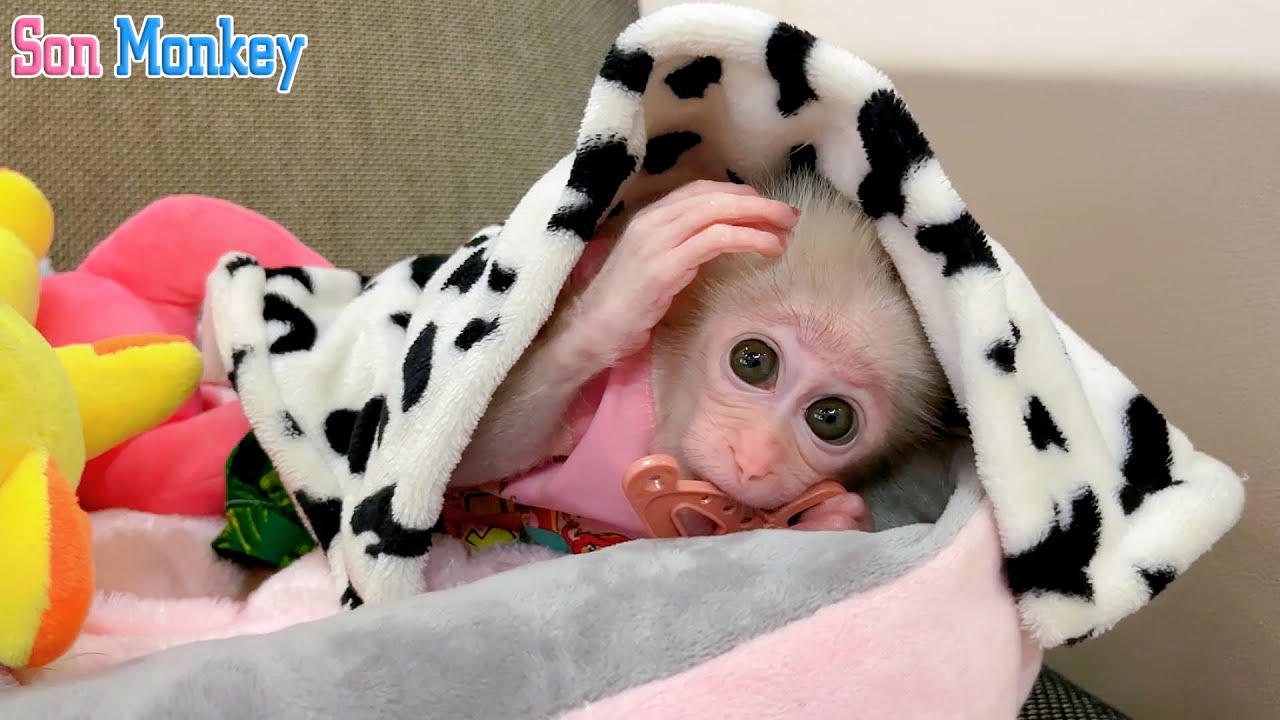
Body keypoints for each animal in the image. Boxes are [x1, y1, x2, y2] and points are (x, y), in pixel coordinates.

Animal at [450, 172, 949, 537]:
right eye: (753, 361)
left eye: (831, 417)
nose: (752, 461)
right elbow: (474, 458)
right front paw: (622, 296)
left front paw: (835, 521)